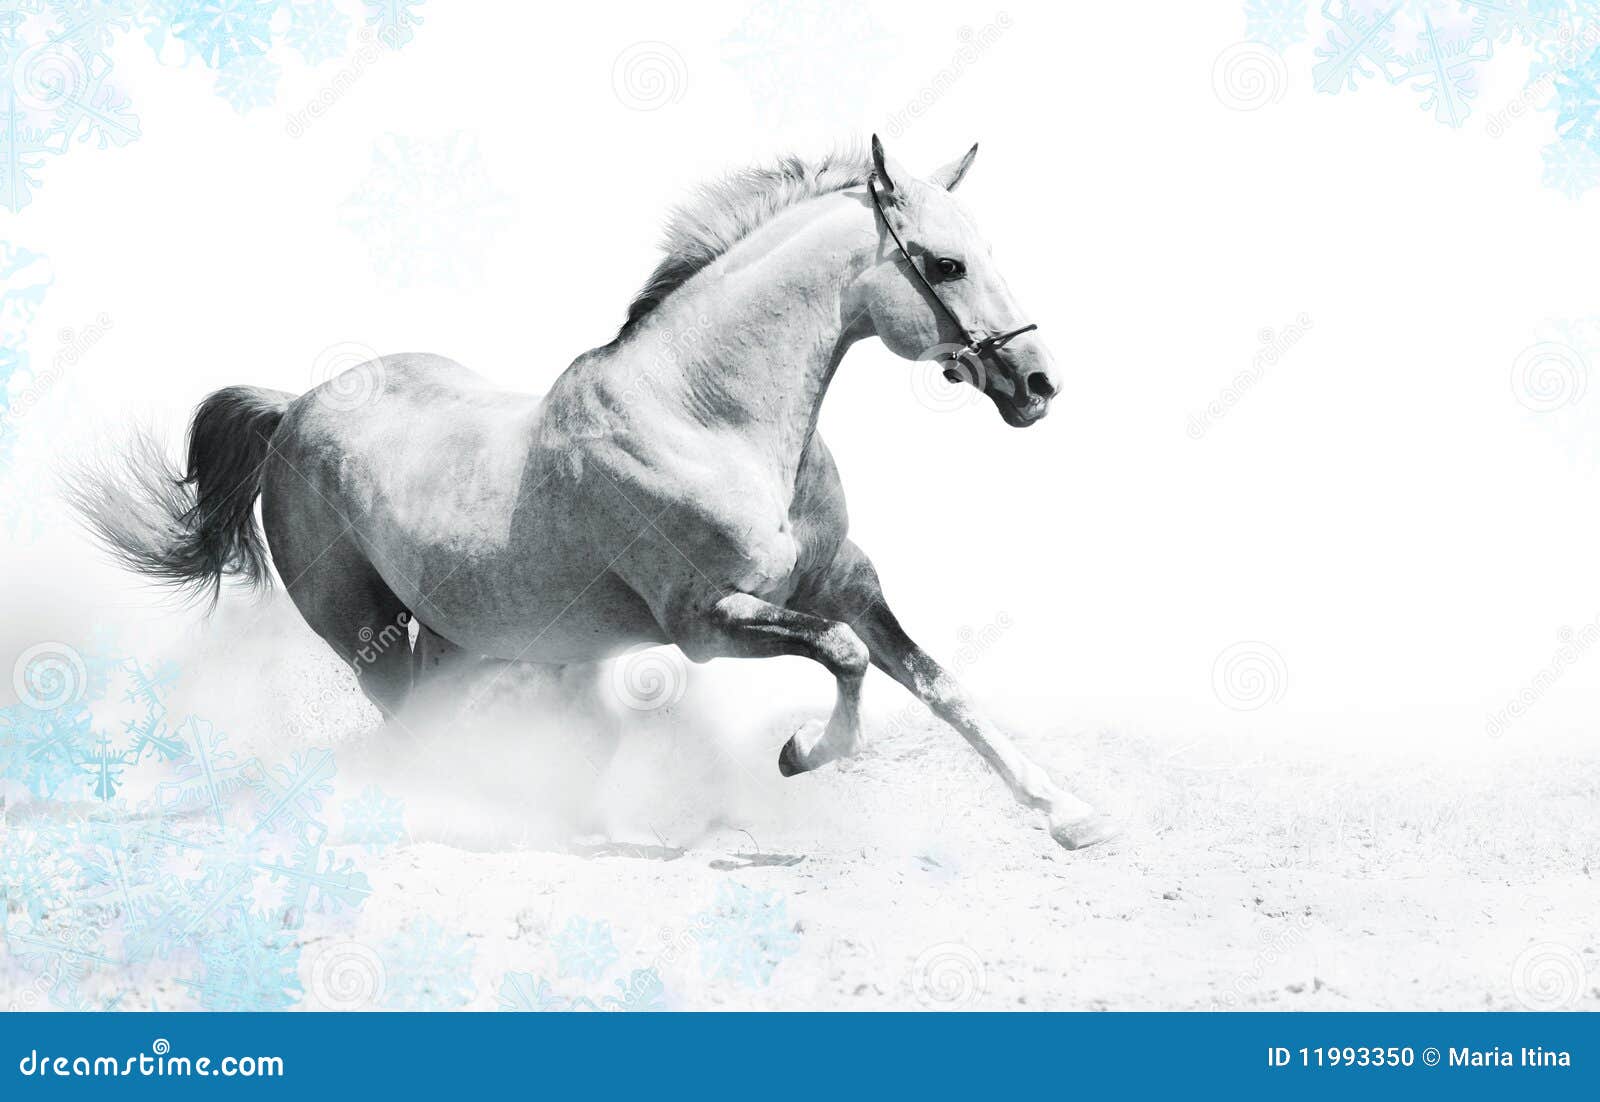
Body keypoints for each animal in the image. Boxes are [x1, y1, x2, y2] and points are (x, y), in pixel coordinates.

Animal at [67, 136, 1117, 850]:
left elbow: (940, 684)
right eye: (945, 263)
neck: (708, 419)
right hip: (364, 636)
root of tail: (293, 410)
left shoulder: (845, 585)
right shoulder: (708, 621)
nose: (1039, 383)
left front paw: (1071, 814)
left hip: (456, 637)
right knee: (409, 728)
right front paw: (798, 754)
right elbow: (848, 660)